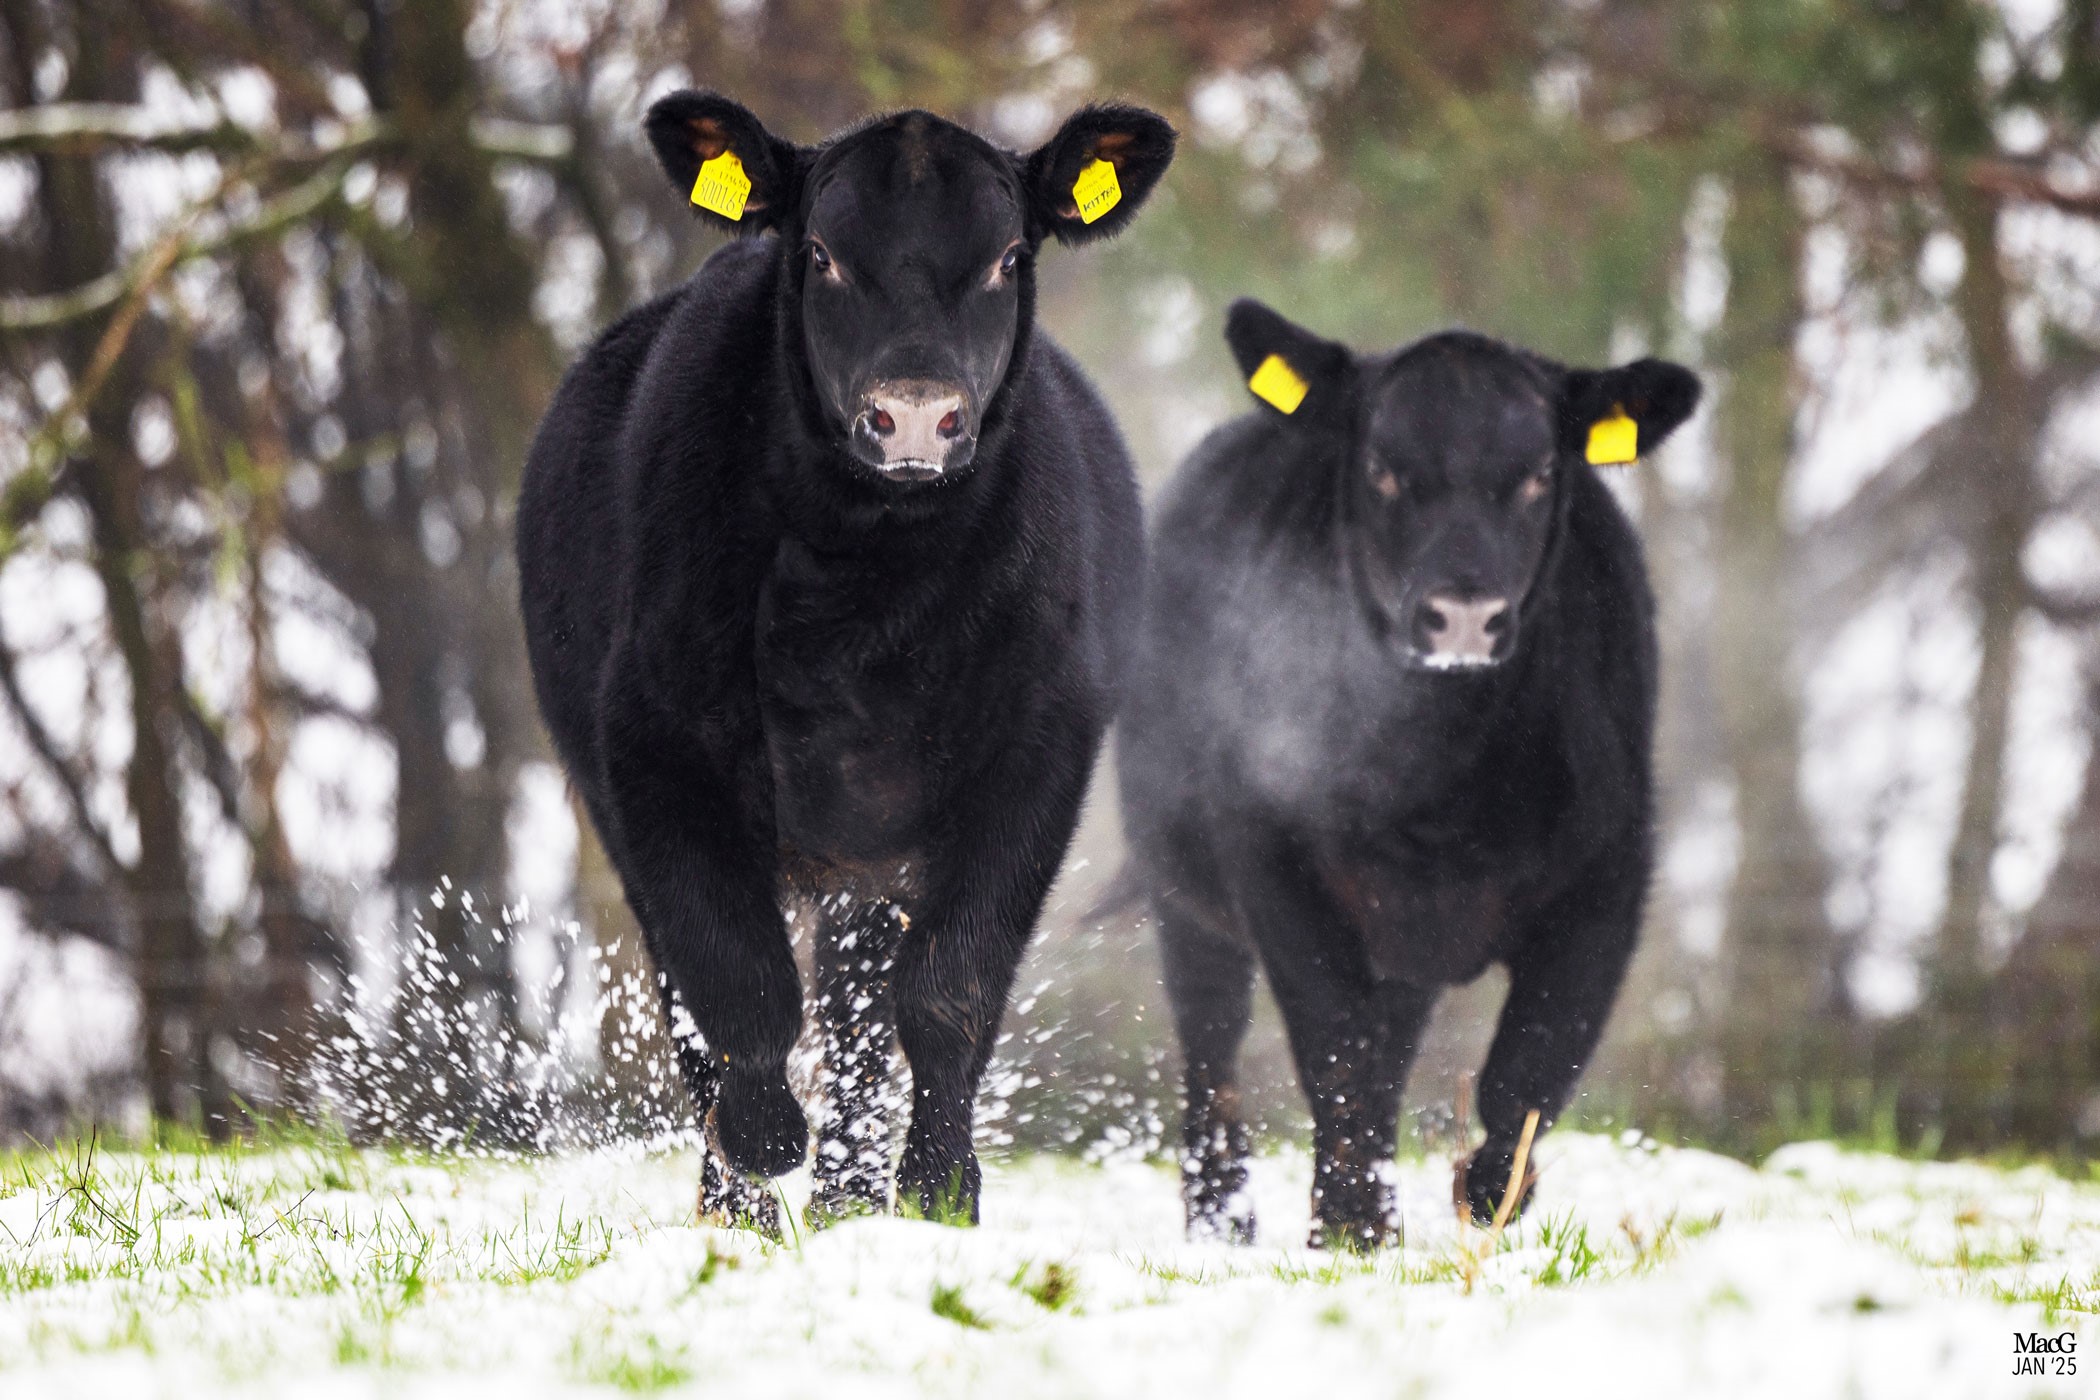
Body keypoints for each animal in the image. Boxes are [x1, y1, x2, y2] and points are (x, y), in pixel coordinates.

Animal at [517, 91, 1174, 1229]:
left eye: (1008, 256)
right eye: (820, 252)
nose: (912, 414)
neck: (867, 601)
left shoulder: (1037, 755)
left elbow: (951, 987)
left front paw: (942, 1188)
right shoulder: (660, 746)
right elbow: (735, 978)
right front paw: (760, 1149)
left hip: (869, 858)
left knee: (863, 1010)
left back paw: (853, 1195)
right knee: (699, 1001)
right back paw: (745, 1199)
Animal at [1116, 298, 1699, 1248]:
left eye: (1541, 472)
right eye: (1383, 469)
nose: (1462, 615)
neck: (1447, 782)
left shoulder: (1608, 881)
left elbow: (1530, 1067)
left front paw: (1487, 1203)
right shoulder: (1277, 862)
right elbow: (1335, 1052)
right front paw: (1351, 1227)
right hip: (1182, 888)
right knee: (1214, 1049)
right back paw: (1223, 1220)